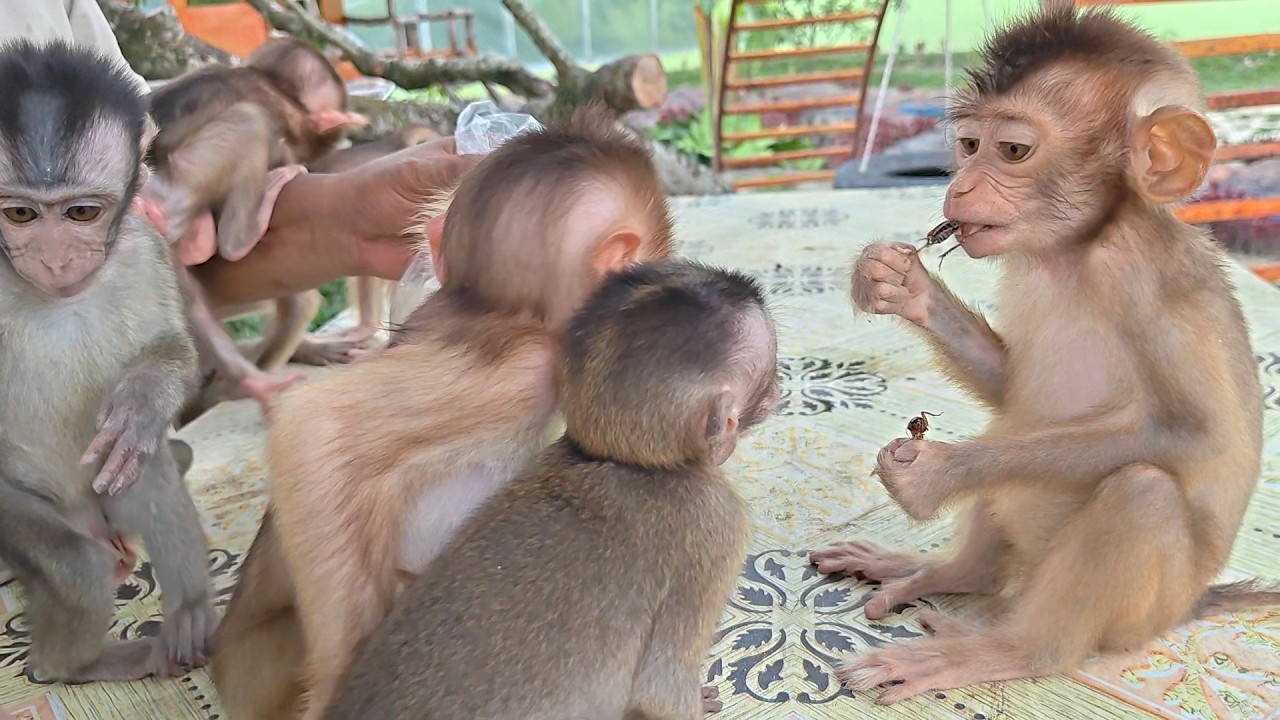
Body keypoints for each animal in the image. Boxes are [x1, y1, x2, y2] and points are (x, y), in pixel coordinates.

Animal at [0, 40, 216, 682]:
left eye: (81, 214)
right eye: (20, 215)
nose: (54, 258)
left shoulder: (145, 248)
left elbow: (176, 349)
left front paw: (143, 397)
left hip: (108, 489)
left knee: (145, 468)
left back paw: (189, 617)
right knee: (76, 562)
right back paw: (73, 665)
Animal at [808, 4, 1280, 703]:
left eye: (1012, 151)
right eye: (968, 145)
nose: (960, 187)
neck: (1073, 252)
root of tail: (1190, 604)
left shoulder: (1136, 271)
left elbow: (1199, 438)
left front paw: (934, 473)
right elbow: (1011, 388)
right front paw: (901, 282)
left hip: (1145, 607)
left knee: (1141, 491)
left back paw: (1000, 649)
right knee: (1016, 432)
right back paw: (946, 572)